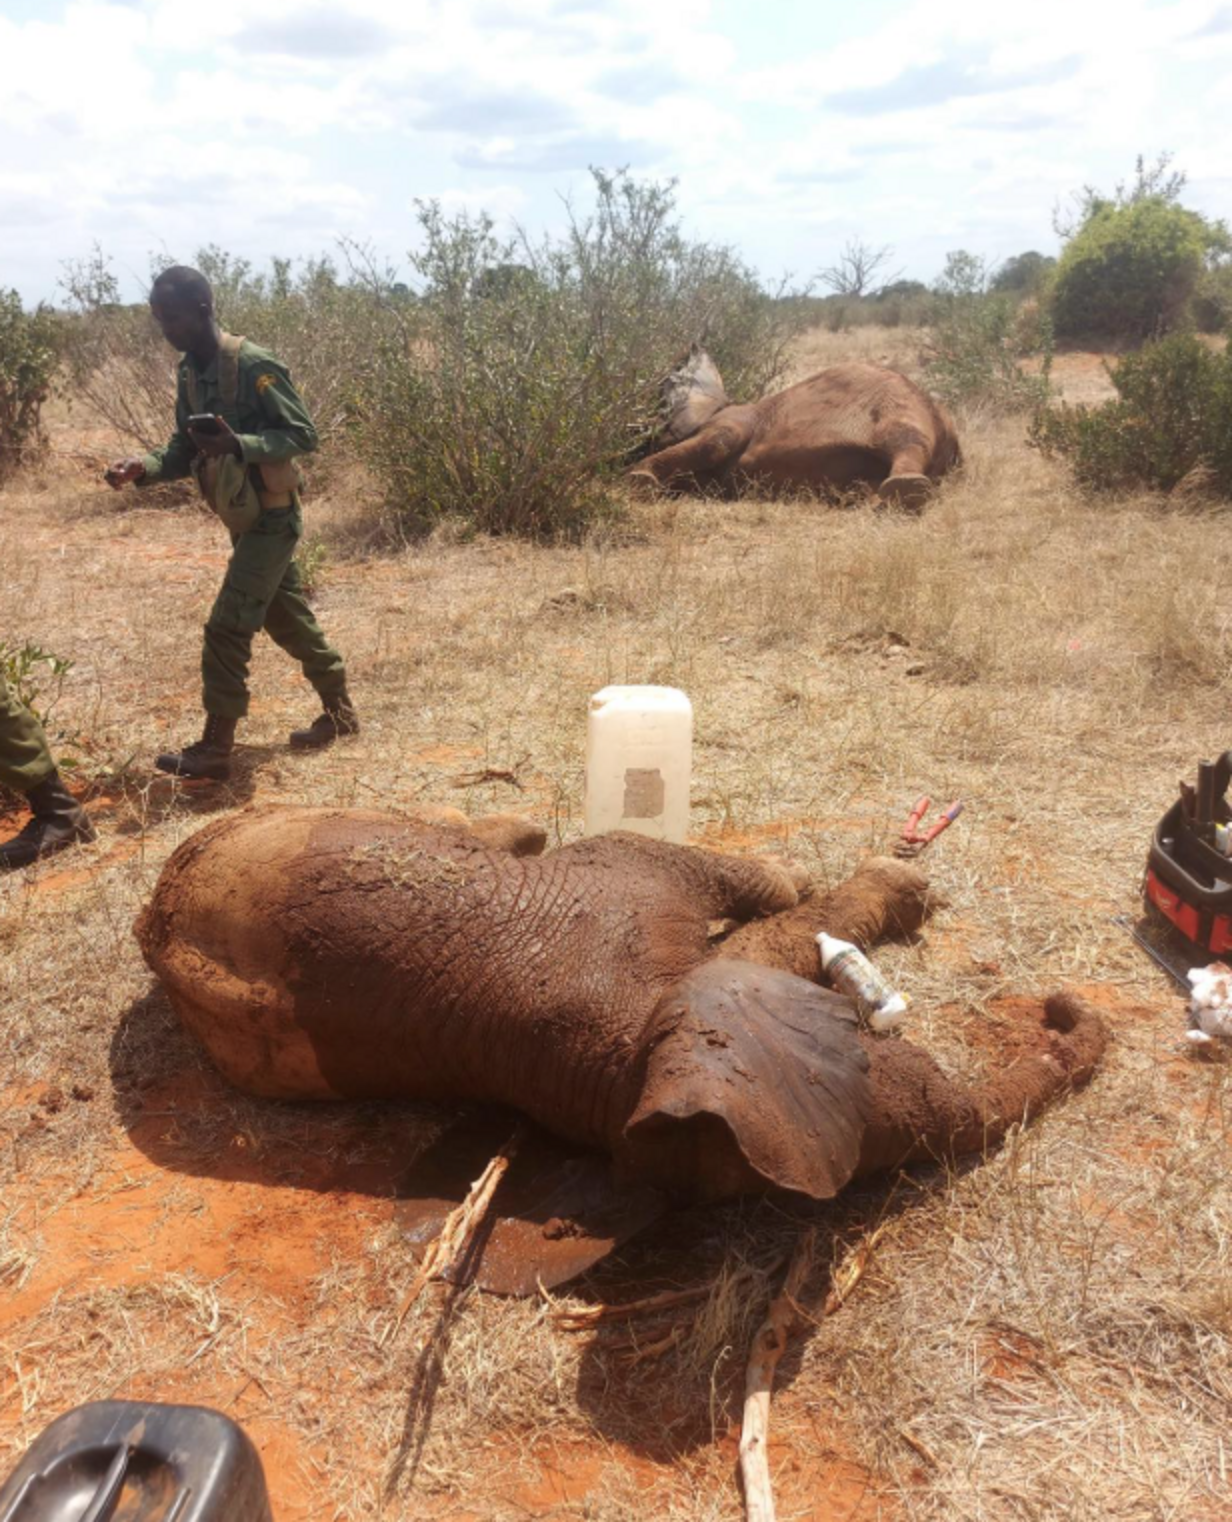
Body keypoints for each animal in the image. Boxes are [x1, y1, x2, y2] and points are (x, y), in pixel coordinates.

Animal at [135, 806, 1106, 1217]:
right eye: (902, 1066)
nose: (1062, 1006)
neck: (633, 1071)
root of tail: (156, 922)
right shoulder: (628, 896)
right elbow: (770, 902)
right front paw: (883, 885)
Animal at [628, 347, 961, 511]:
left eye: (668, 379)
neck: (718, 401)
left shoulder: (730, 422)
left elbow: (716, 443)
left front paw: (637, 478)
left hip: (898, 404)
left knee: (906, 439)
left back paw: (907, 489)